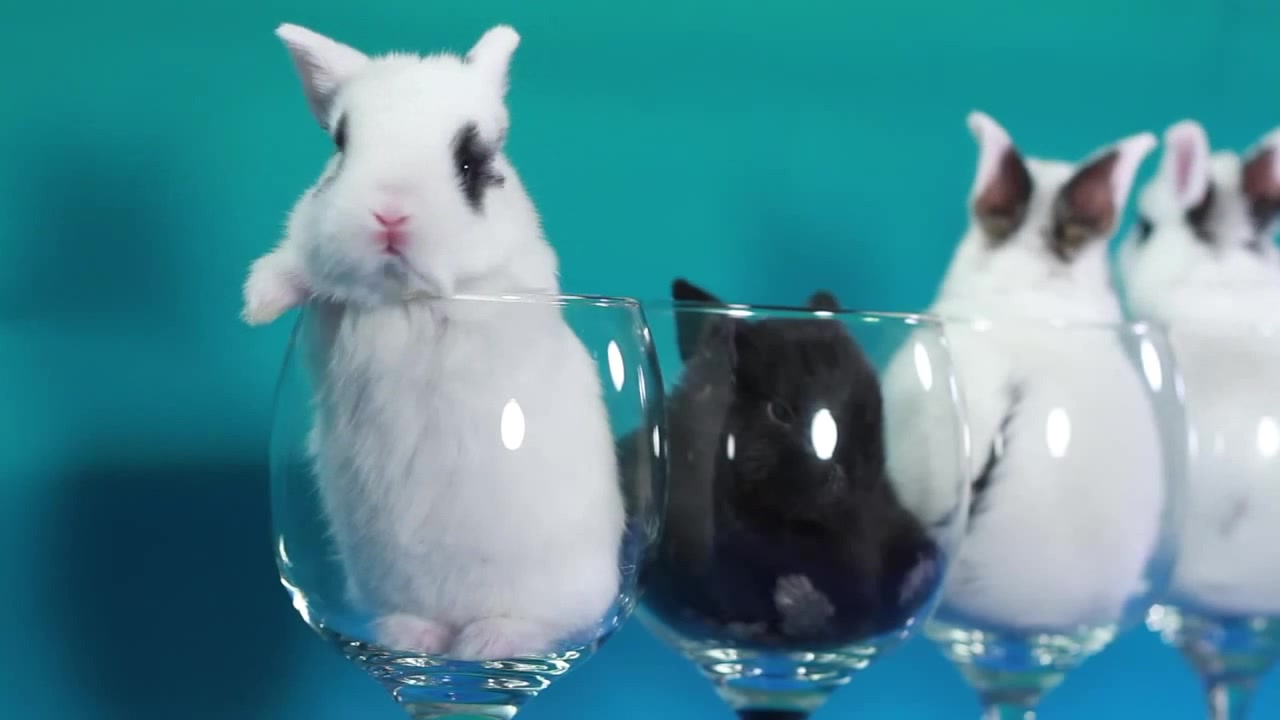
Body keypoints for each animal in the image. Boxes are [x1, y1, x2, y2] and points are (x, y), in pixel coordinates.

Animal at [241, 23, 626, 661]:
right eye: (341, 144)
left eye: (470, 160)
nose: (389, 214)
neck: (402, 298)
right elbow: (298, 269)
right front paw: (259, 302)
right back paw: (412, 634)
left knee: (544, 626)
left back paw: (485, 642)